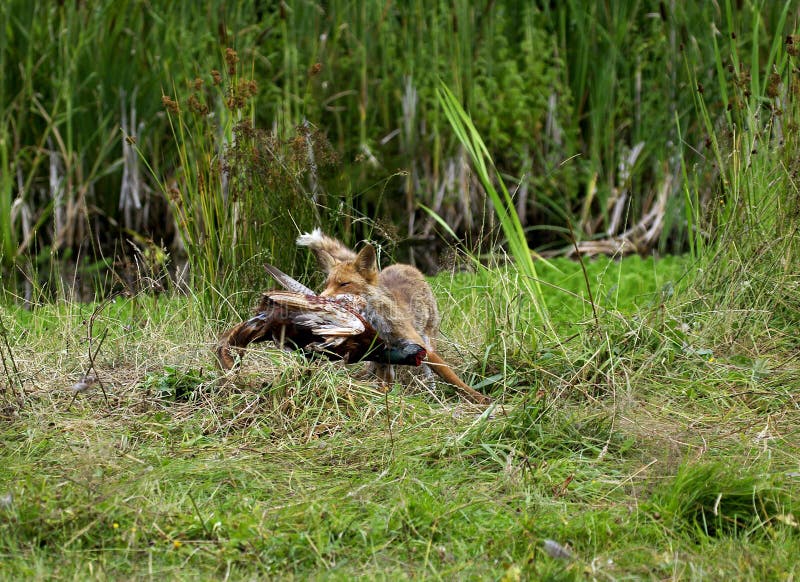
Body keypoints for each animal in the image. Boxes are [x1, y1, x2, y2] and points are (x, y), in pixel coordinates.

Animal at [297, 229, 491, 404]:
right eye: (327, 284)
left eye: (344, 284)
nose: (317, 298)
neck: (378, 326)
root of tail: (403, 265)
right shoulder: (382, 357)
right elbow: (385, 383)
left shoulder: (420, 347)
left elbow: (452, 378)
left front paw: (480, 399)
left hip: (427, 338)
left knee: (428, 373)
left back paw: (431, 391)